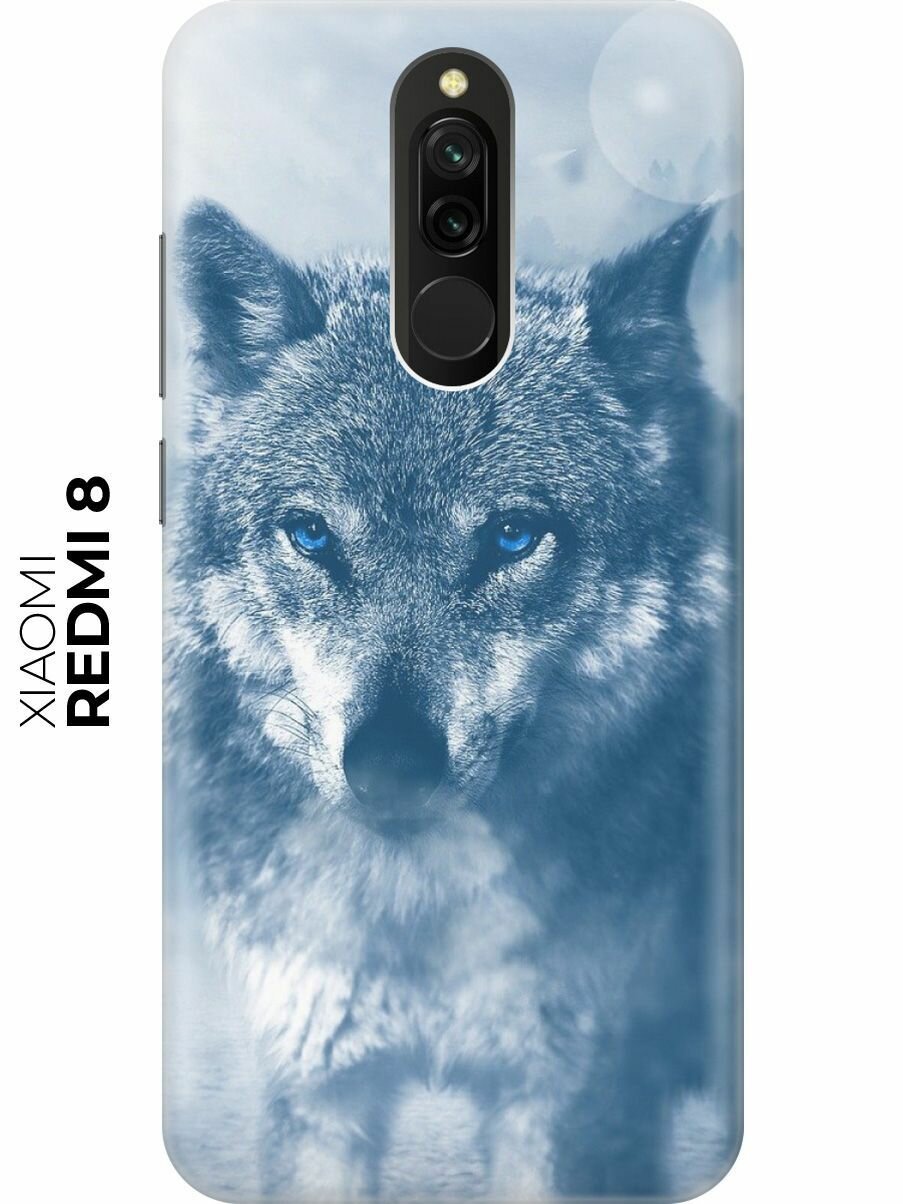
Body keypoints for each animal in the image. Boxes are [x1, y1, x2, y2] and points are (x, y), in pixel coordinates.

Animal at [166, 200, 740, 1201]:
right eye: (310, 534)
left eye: (512, 535)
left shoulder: (574, 1103)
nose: (392, 766)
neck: (417, 916)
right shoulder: (320, 1088)